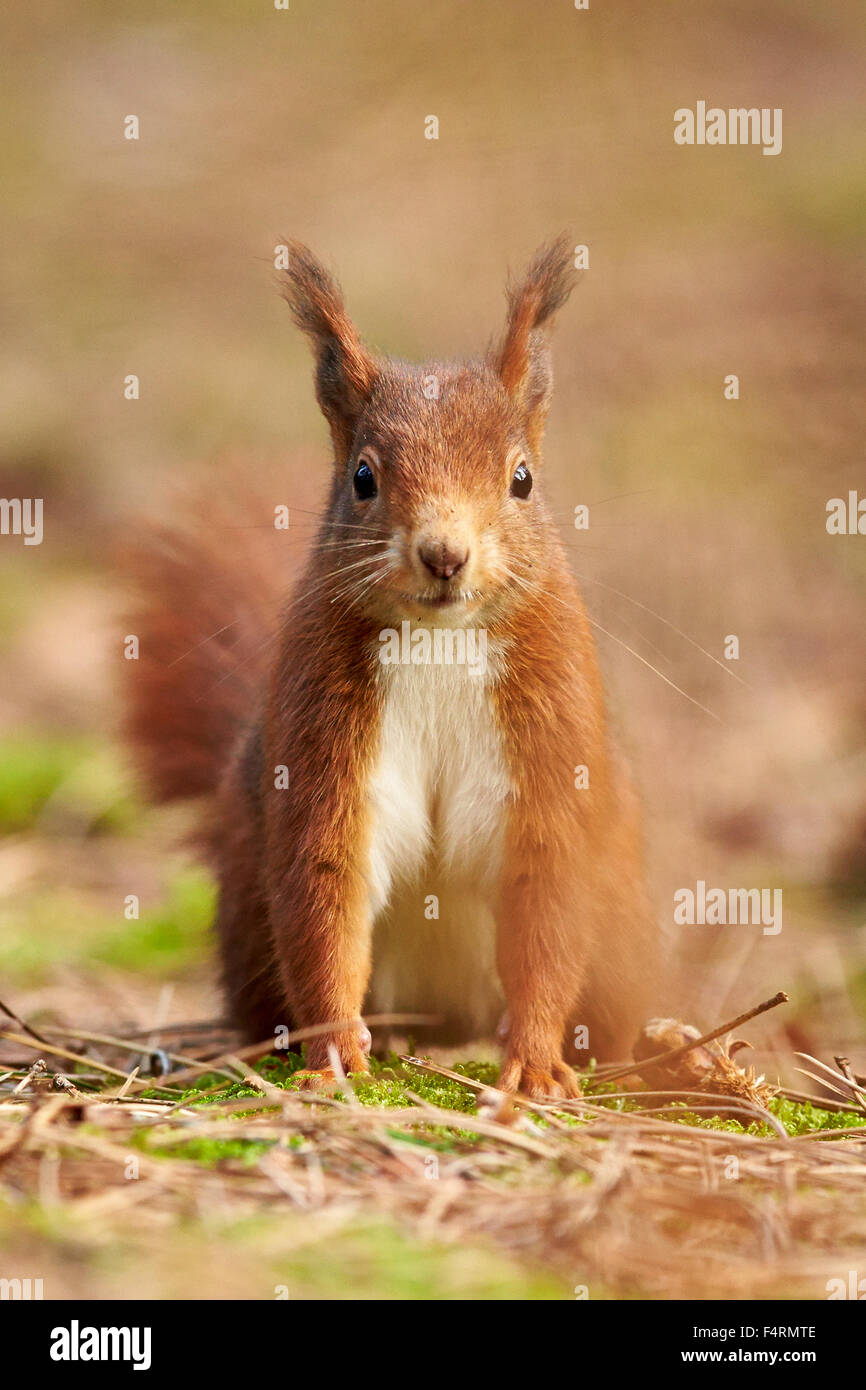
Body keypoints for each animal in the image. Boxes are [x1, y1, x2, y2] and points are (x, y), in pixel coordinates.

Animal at [124, 236, 656, 1099]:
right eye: (363, 478)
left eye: (522, 479)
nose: (444, 554)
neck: (439, 639)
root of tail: (448, 1018)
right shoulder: (322, 739)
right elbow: (325, 893)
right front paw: (335, 1054)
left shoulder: (552, 736)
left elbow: (547, 902)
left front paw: (537, 1064)